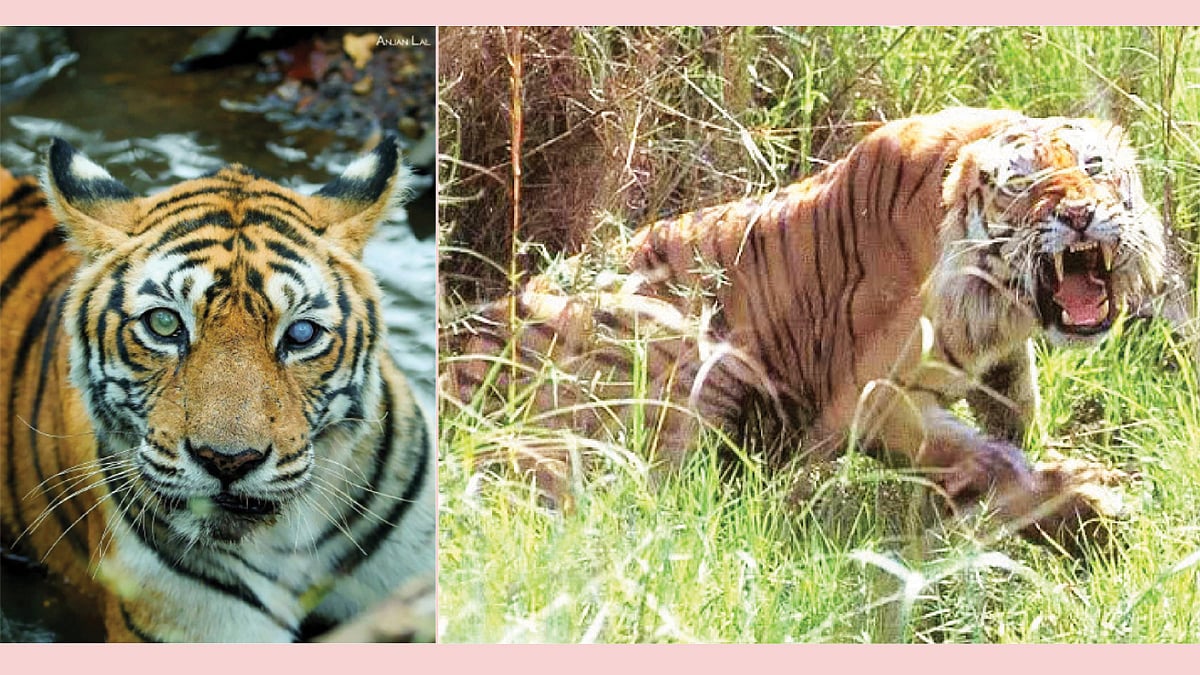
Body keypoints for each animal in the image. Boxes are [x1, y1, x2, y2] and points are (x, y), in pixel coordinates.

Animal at [445, 107, 1168, 554]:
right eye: (1021, 185)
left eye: (1095, 167)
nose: (1080, 215)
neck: (997, 302)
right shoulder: (874, 400)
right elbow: (991, 458)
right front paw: (1088, 497)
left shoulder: (1000, 358)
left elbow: (1016, 416)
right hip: (680, 346)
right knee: (683, 503)